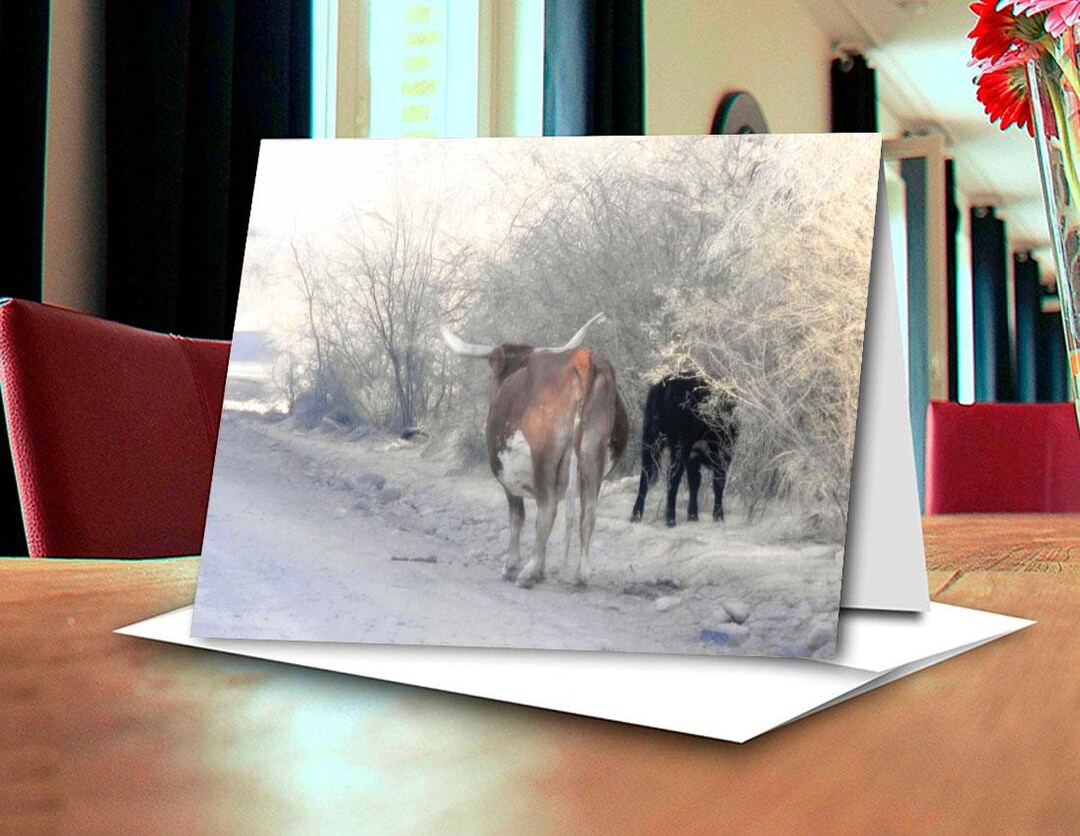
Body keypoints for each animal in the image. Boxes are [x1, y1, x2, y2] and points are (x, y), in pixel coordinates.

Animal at [440, 314, 629, 588]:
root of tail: (582, 359)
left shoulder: (506, 475)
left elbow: (517, 516)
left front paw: (512, 564)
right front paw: (541, 568)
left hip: (544, 457)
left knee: (547, 508)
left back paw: (527, 573)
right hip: (592, 455)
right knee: (588, 511)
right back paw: (581, 574)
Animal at [630, 375, 738, 528]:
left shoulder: (695, 457)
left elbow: (695, 481)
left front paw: (693, 515)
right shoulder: (721, 454)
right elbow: (718, 482)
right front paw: (718, 516)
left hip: (651, 439)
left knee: (646, 473)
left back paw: (636, 515)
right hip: (681, 445)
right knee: (673, 475)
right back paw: (670, 518)